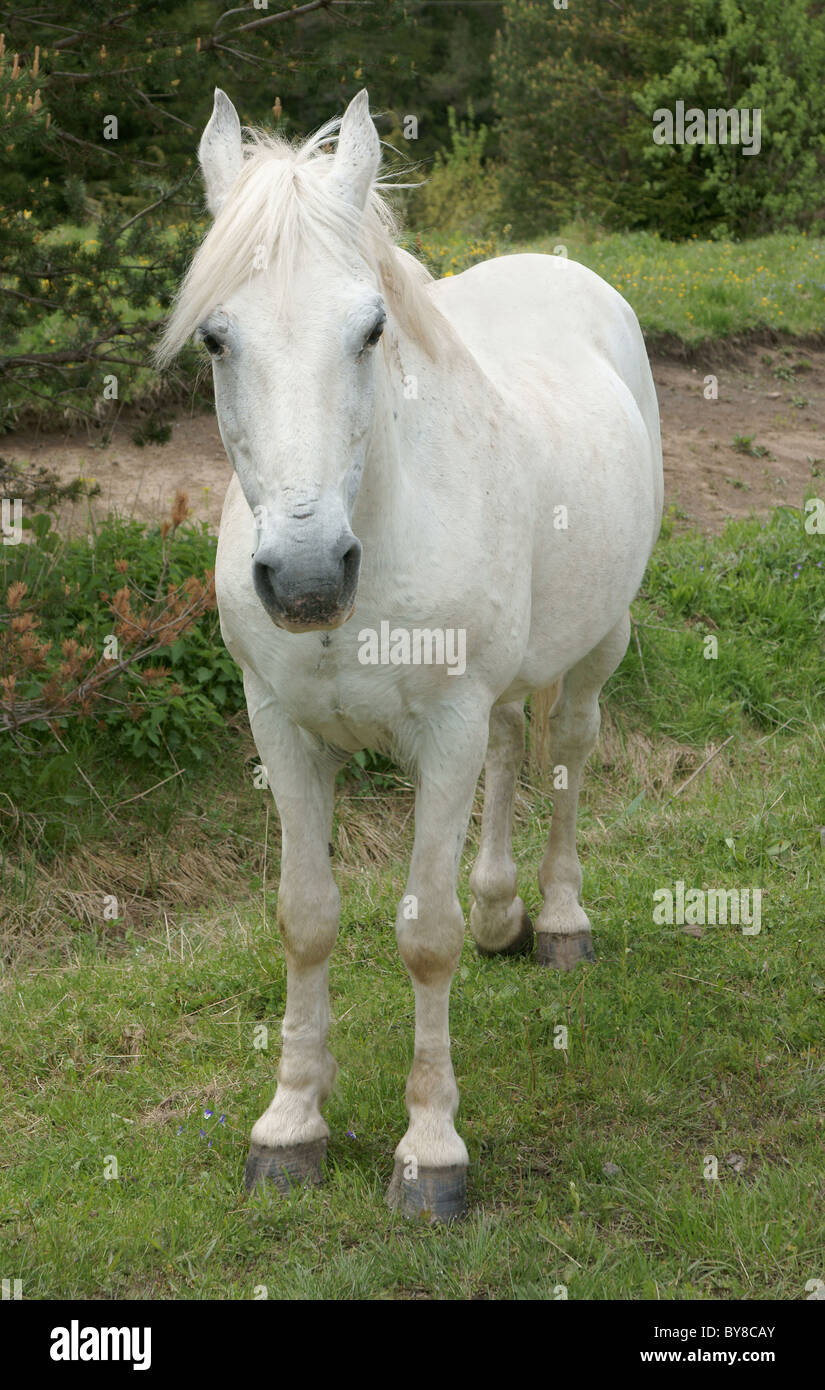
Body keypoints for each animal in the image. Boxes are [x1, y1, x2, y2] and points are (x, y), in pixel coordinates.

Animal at [157, 88, 664, 1222]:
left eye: (371, 329)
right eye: (215, 337)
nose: (307, 574)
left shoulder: (444, 730)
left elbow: (422, 933)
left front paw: (431, 1151)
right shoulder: (281, 728)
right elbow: (305, 918)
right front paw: (290, 1125)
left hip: (598, 643)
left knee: (566, 756)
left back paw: (557, 922)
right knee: (516, 747)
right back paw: (501, 913)